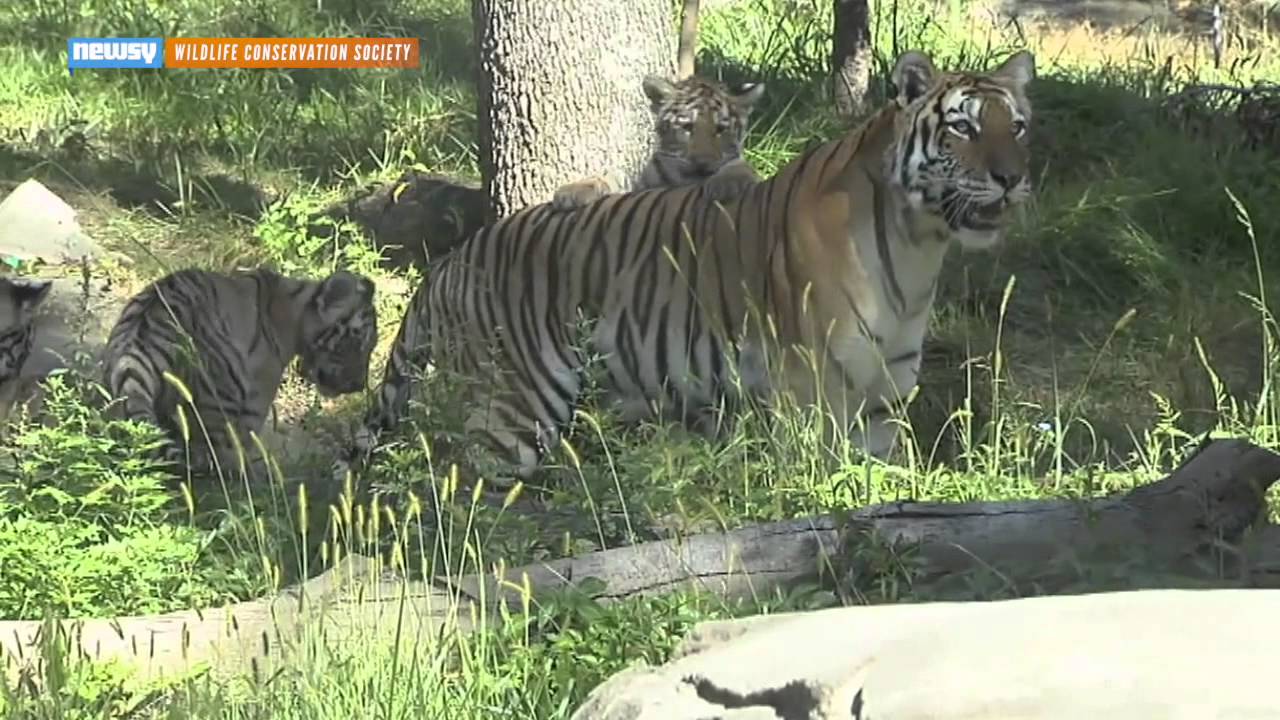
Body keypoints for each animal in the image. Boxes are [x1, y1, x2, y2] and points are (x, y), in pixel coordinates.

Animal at [103, 267, 378, 479]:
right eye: (357, 345)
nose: (358, 386)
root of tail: (141, 333)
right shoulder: (258, 394)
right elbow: (245, 435)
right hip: (223, 394)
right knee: (213, 450)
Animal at [551, 74, 766, 211]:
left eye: (721, 129)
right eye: (687, 127)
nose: (703, 163)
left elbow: (740, 166)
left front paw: (727, 182)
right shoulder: (641, 186)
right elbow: (612, 176)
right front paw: (573, 191)